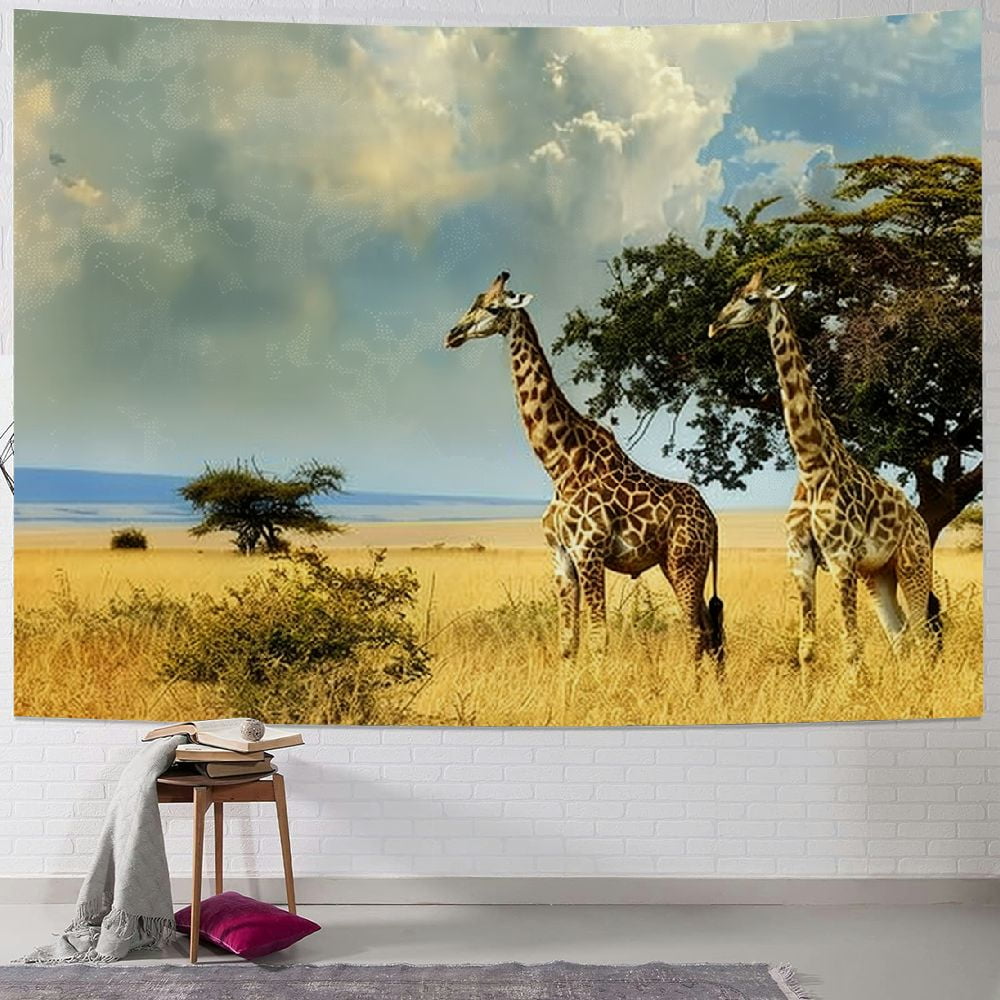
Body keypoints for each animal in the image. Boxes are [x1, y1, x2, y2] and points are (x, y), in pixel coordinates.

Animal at [445, 271, 724, 672]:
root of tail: (713, 520)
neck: (559, 464)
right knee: (711, 629)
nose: (453, 334)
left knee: (696, 630)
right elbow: (568, 641)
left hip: (686, 560)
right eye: (474, 302)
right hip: (675, 564)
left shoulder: (588, 551)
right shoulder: (561, 557)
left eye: (495, 308)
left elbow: (598, 637)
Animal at [709, 269, 942, 669]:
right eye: (733, 294)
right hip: (877, 574)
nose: (715, 326)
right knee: (900, 636)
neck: (810, 464)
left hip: (913, 561)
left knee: (923, 636)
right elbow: (807, 648)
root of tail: (919, 520)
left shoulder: (841, 558)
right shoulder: (800, 560)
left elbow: (852, 647)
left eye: (753, 298)